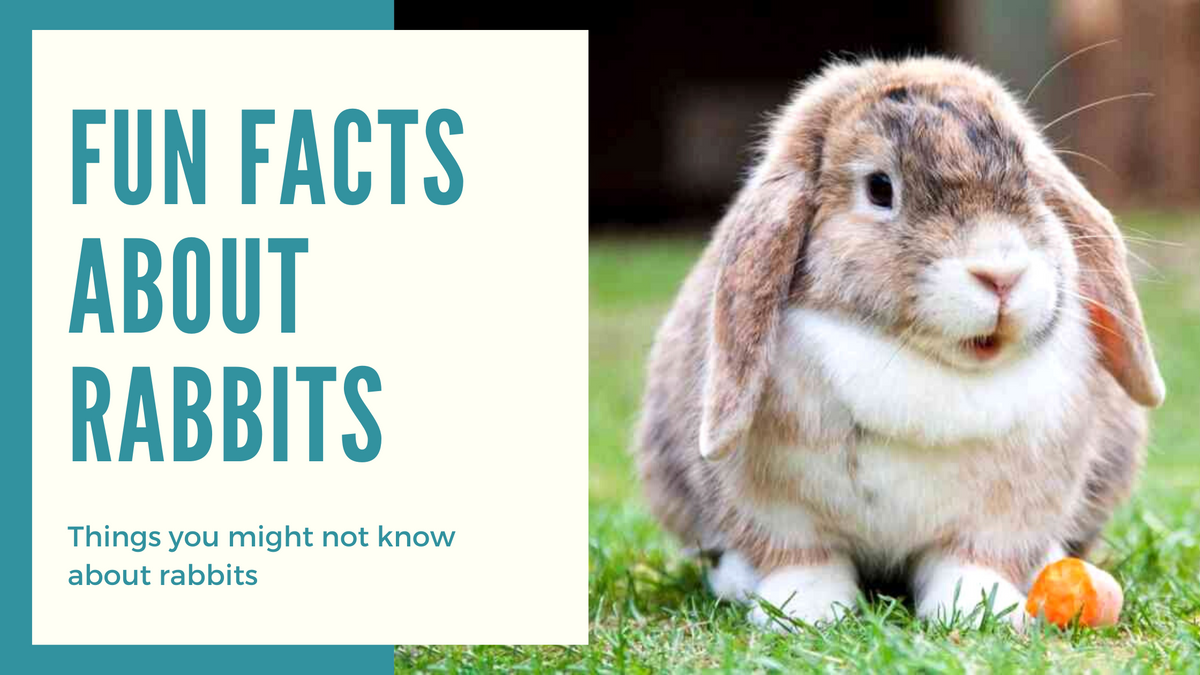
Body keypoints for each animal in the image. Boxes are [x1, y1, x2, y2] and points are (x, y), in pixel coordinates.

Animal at [634, 55, 1165, 631]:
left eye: (1027, 175)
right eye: (879, 188)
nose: (1001, 274)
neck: (923, 363)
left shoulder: (1004, 514)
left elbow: (973, 560)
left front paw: (979, 611)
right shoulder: (778, 511)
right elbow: (804, 559)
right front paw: (804, 613)